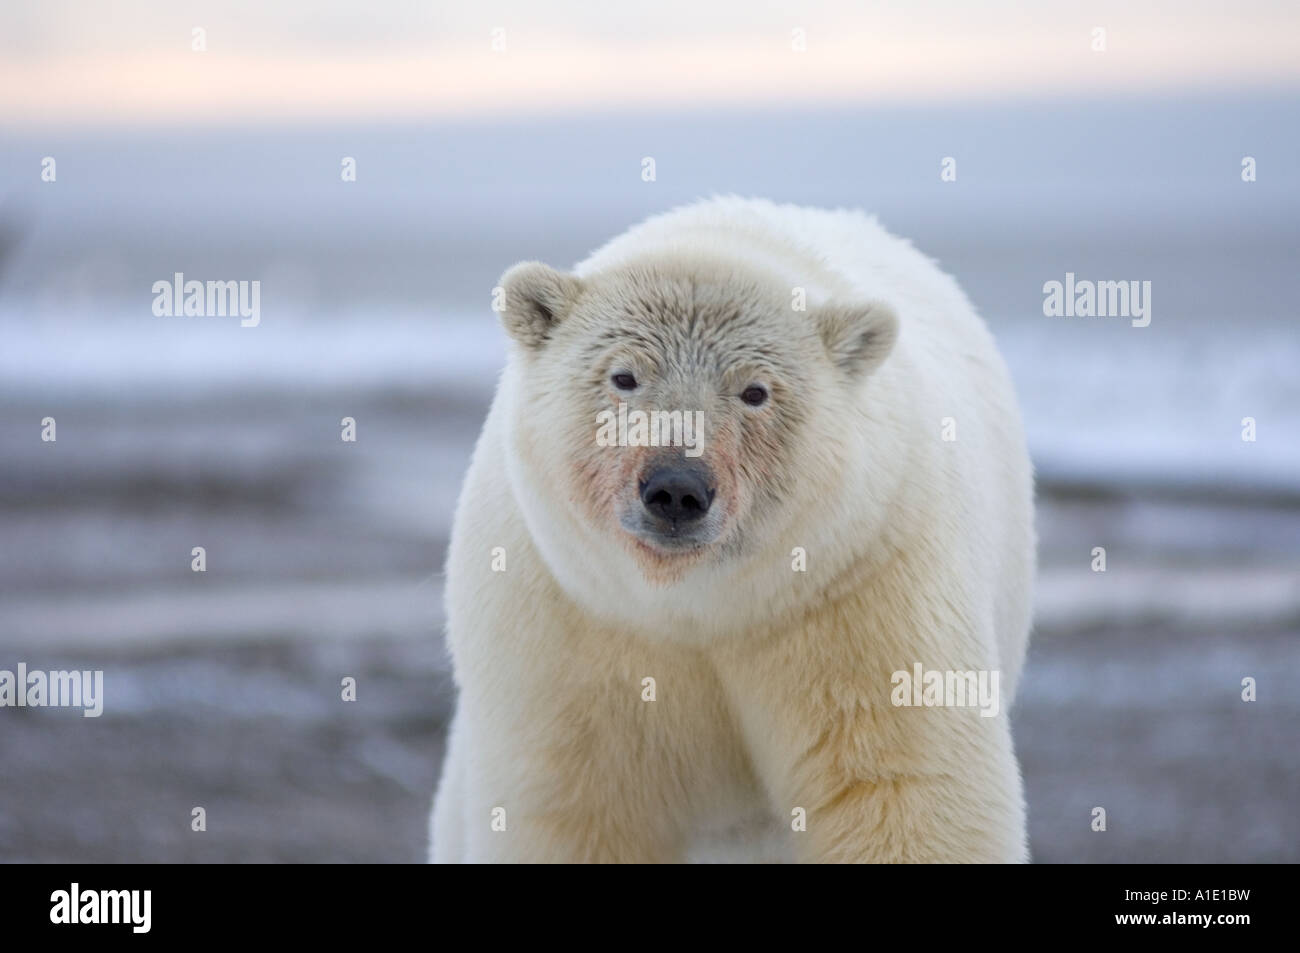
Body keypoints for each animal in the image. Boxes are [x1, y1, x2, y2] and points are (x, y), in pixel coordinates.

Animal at [430, 196, 1035, 863]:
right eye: (624, 377)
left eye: (755, 391)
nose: (676, 488)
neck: (700, 607)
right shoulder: (565, 617)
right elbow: (577, 808)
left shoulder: (859, 582)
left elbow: (904, 790)